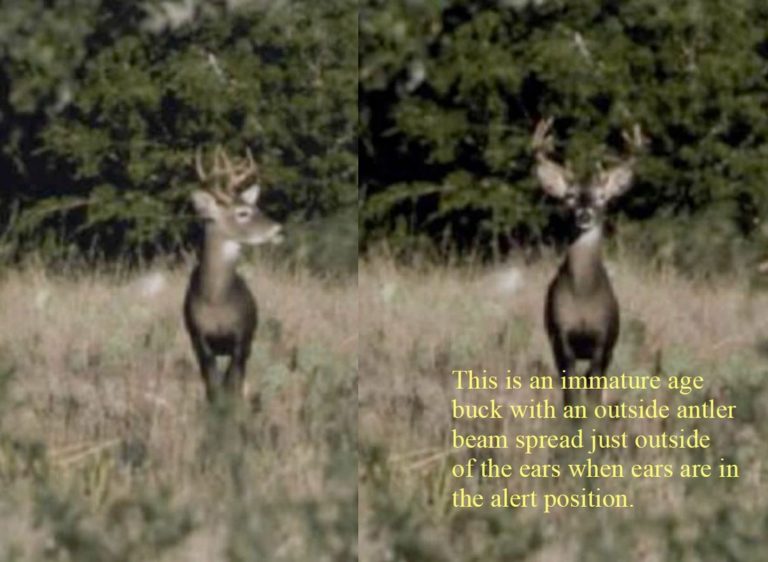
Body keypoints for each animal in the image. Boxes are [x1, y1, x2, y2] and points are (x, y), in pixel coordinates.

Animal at [184, 146, 282, 403]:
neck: (215, 301)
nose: (278, 228)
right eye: (243, 213)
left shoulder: (240, 338)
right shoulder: (199, 340)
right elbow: (213, 389)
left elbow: (232, 387)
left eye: (257, 207)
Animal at [532, 118, 643, 406]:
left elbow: (593, 394)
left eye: (602, 197)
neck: (583, 295)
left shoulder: (602, 340)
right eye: (569, 196)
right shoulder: (561, 336)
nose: (584, 214)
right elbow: (571, 395)